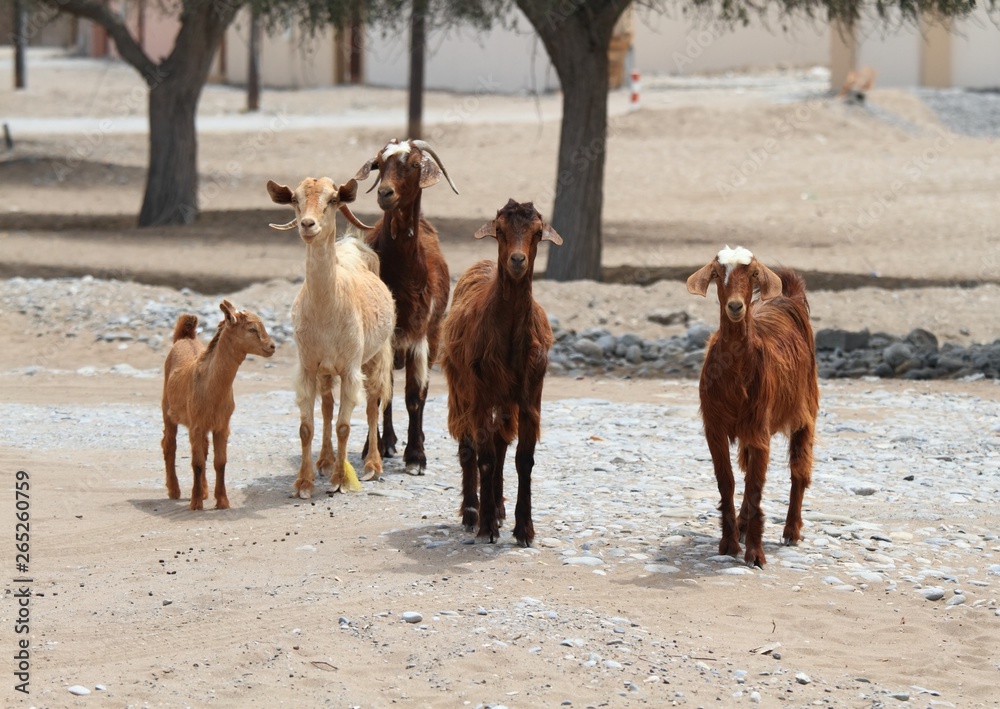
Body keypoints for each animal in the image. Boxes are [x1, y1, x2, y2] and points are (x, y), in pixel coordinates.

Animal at [161, 300, 276, 510]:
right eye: (252, 329)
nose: (271, 346)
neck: (210, 386)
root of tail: (183, 338)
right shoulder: (196, 425)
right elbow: (197, 462)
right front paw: (195, 503)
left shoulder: (222, 425)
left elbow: (220, 461)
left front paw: (222, 501)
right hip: (167, 411)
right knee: (169, 445)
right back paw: (174, 490)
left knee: (204, 449)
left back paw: (205, 491)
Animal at [267, 176, 395, 497]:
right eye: (295, 199)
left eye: (333, 199)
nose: (308, 224)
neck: (327, 310)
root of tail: (353, 247)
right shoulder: (309, 366)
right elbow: (307, 426)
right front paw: (304, 483)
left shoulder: (350, 368)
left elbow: (344, 426)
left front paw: (340, 481)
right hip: (327, 371)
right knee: (326, 406)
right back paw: (324, 461)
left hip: (377, 355)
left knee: (373, 403)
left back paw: (373, 465)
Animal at [353, 138, 458, 474]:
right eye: (378, 164)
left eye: (413, 164)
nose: (385, 193)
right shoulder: (380, 339)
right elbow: (378, 393)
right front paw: (374, 448)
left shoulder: (419, 337)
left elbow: (415, 396)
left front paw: (416, 456)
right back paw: (387, 442)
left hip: (434, 337)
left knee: (420, 393)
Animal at [440, 199, 564, 547]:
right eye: (500, 229)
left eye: (537, 232)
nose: (517, 260)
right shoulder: (480, 392)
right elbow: (484, 457)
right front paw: (486, 527)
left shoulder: (530, 396)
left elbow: (523, 459)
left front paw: (524, 529)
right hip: (460, 387)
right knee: (469, 447)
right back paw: (473, 512)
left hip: (505, 399)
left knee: (500, 443)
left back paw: (496, 508)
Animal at [686, 245, 819, 568]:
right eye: (717, 273)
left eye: (753, 273)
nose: (735, 307)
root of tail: (789, 298)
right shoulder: (716, 428)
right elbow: (728, 481)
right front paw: (729, 543)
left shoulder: (759, 426)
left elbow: (756, 485)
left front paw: (755, 554)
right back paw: (743, 526)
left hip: (805, 409)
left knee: (799, 470)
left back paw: (791, 532)